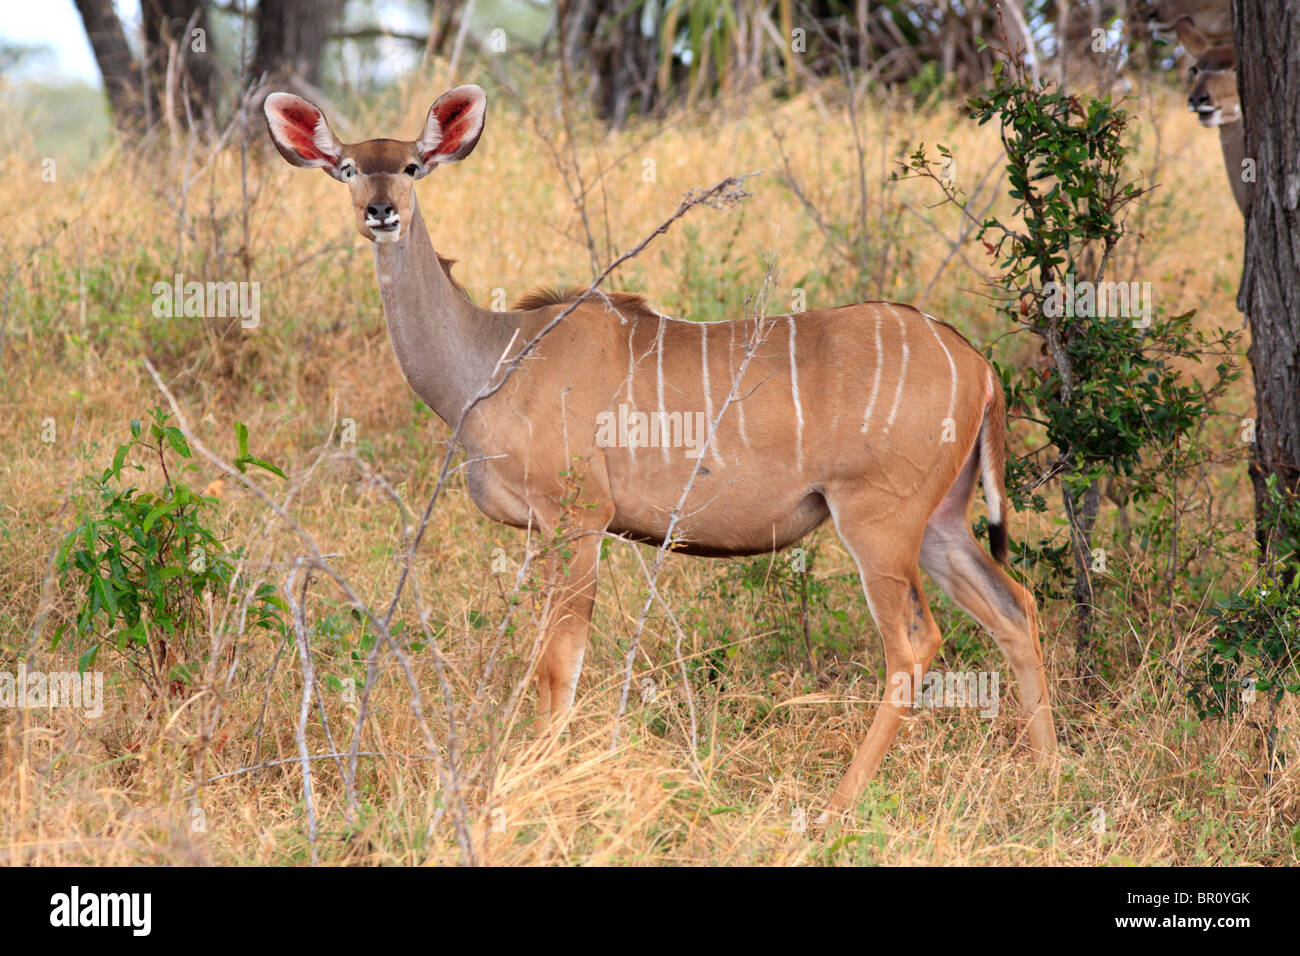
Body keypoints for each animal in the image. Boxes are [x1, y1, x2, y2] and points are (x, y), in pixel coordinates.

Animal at [263, 86, 1056, 817]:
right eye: (346, 168)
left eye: (411, 166)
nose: (380, 212)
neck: (493, 359)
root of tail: (979, 366)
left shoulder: (578, 517)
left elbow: (559, 664)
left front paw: (538, 785)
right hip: (940, 524)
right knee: (1016, 608)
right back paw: (1052, 776)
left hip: (877, 521)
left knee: (915, 644)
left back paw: (838, 804)